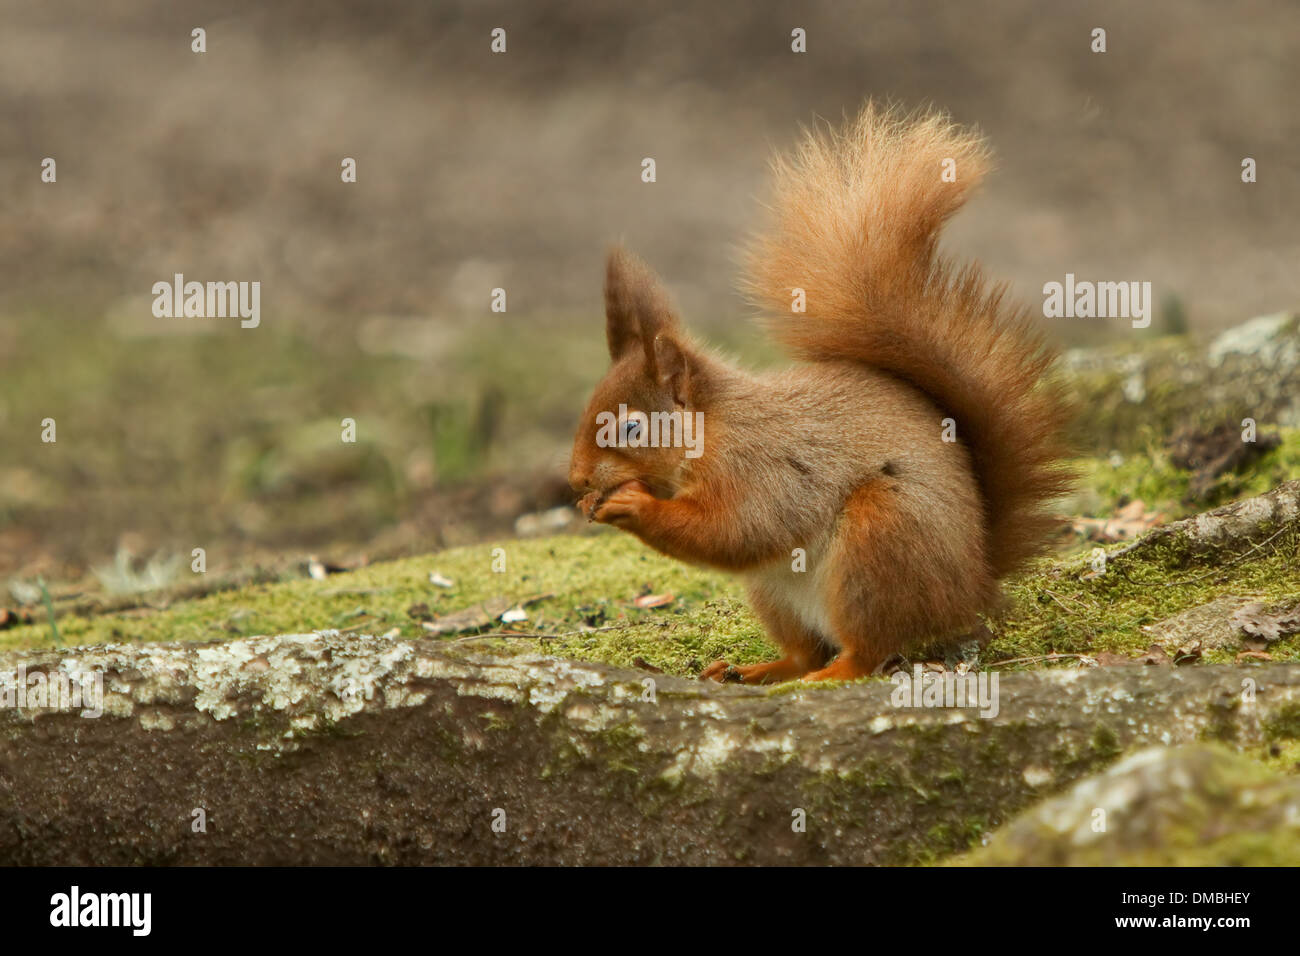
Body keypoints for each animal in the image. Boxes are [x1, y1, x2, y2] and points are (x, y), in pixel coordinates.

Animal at [569, 103, 1073, 683]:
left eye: (631, 426)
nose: (575, 479)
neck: (711, 428)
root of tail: (975, 587)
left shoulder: (761, 466)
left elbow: (738, 529)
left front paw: (631, 504)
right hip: (774, 593)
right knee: (805, 649)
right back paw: (755, 671)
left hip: (880, 541)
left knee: (871, 647)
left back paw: (834, 674)